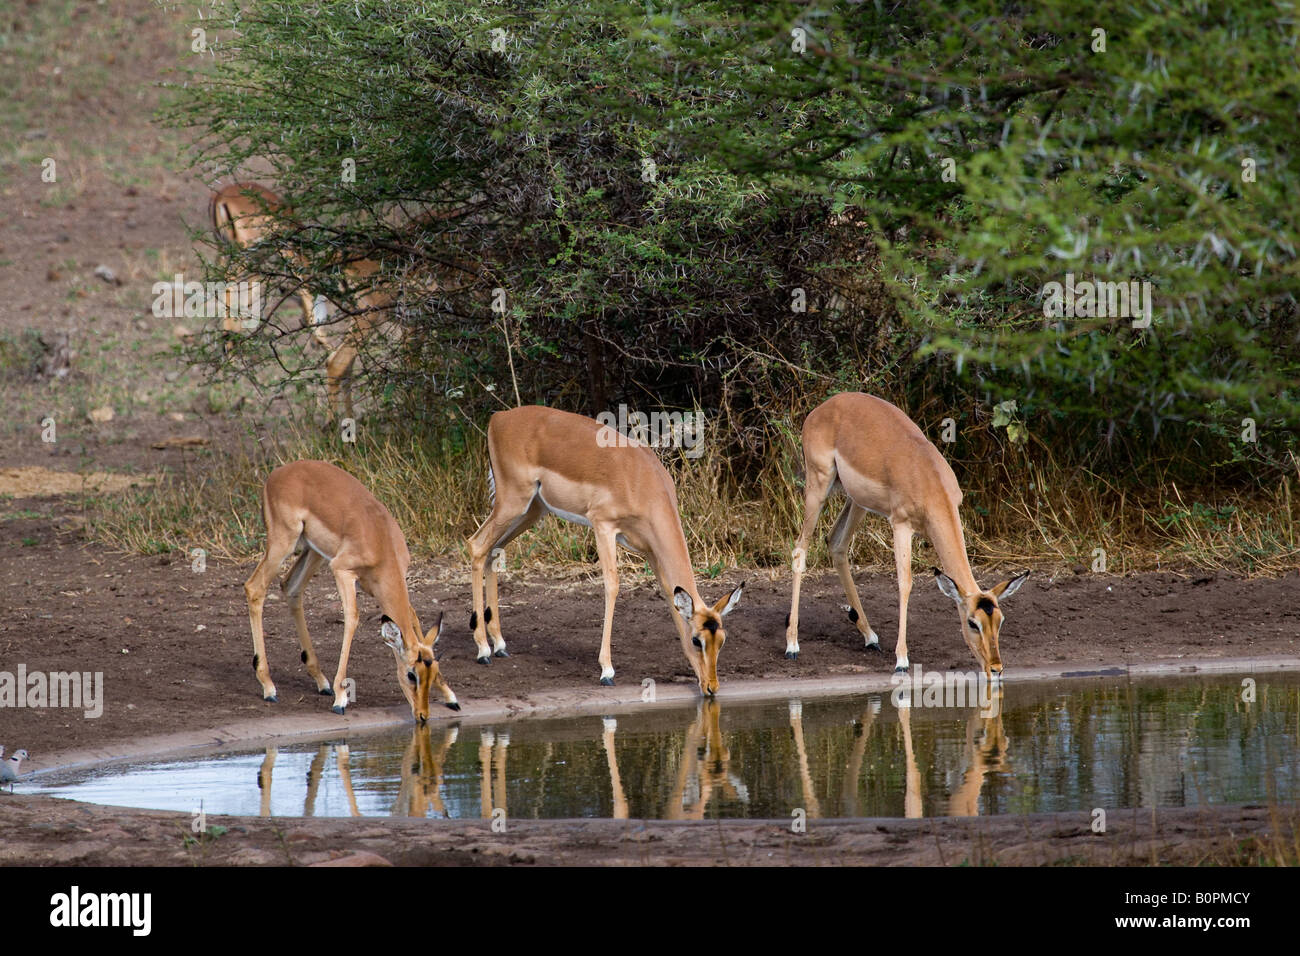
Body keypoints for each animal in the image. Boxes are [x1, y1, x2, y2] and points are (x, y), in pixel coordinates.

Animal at [243, 459, 459, 722]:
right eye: (411, 674)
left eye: (433, 670)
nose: (422, 715)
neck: (381, 540)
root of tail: (276, 474)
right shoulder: (342, 571)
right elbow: (352, 618)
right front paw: (341, 699)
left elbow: (414, 616)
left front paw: (450, 696)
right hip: (283, 543)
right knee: (255, 588)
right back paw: (269, 687)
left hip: (313, 552)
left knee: (291, 587)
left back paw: (321, 681)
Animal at [466, 405, 743, 694]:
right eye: (697, 640)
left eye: (722, 639)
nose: (711, 687)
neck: (644, 481)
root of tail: (499, 417)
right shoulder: (604, 527)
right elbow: (612, 585)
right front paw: (607, 670)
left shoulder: (651, 552)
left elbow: (669, 592)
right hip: (512, 503)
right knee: (476, 545)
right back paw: (483, 650)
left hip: (530, 511)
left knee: (493, 552)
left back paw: (499, 644)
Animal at [785, 392, 1028, 678]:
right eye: (972, 622)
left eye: (999, 620)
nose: (996, 668)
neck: (928, 479)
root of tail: (824, 407)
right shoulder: (901, 525)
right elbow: (905, 583)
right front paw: (901, 660)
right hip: (819, 485)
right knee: (800, 548)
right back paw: (792, 645)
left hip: (856, 501)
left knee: (836, 543)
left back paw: (870, 637)